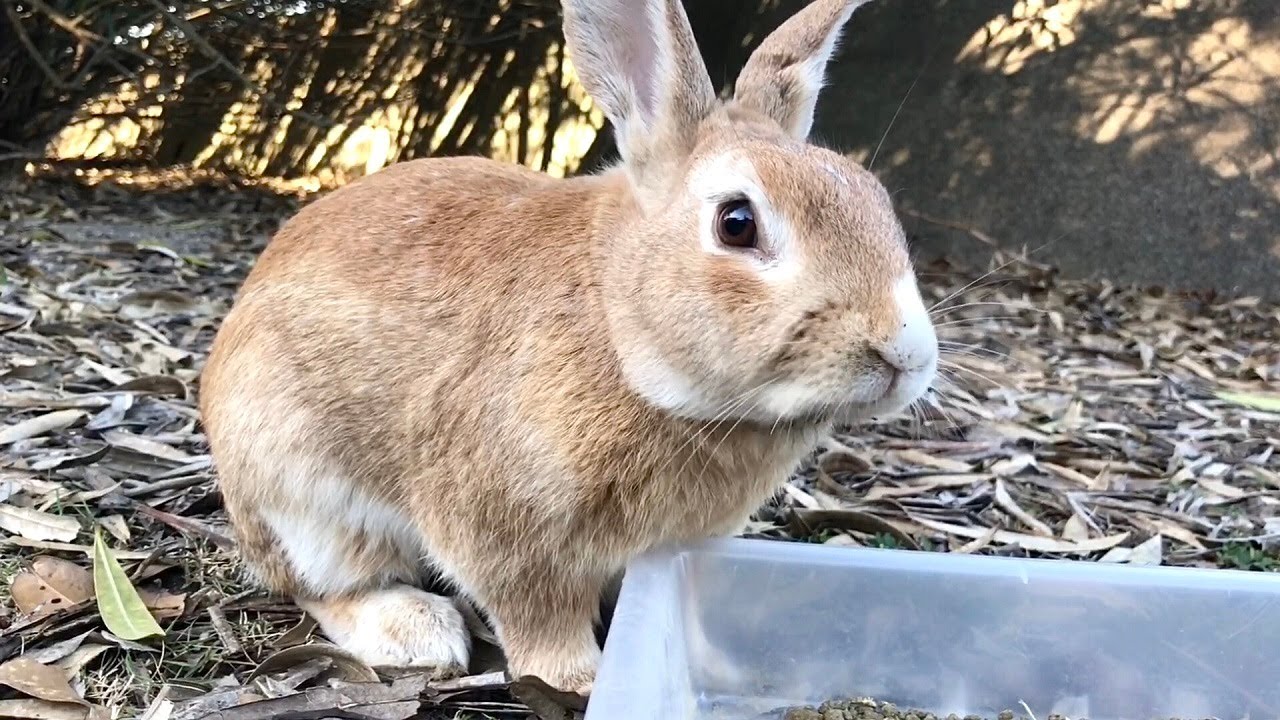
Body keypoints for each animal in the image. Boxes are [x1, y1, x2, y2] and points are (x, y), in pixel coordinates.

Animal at [198, 0, 938, 696]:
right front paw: (579, 681)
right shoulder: (507, 533)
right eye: (736, 223)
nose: (905, 353)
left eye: (878, 201)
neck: (616, 321)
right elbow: (538, 616)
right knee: (319, 586)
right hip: (303, 496)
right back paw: (414, 630)